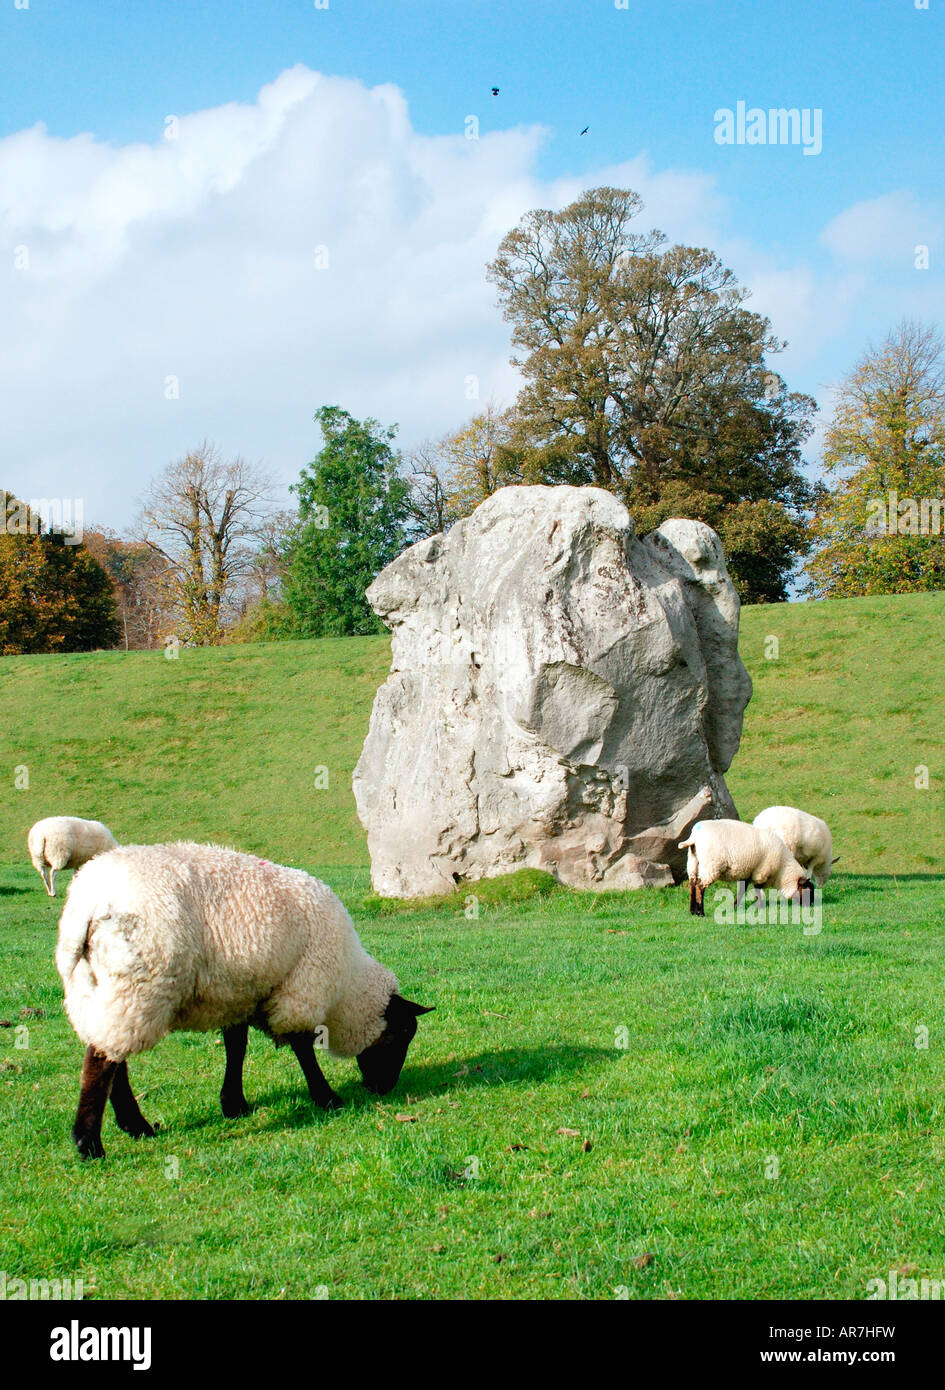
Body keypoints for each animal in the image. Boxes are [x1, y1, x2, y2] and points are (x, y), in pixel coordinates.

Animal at [55, 842, 433, 1159]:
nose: (383, 1089)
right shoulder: (300, 987)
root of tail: (87, 903)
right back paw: (90, 1142)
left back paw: (134, 1126)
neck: (345, 987)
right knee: (101, 1062)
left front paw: (234, 1104)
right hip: (137, 985)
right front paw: (326, 1097)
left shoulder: (237, 995)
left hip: (97, 989)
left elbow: (236, 1047)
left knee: (109, 1051)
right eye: (403, 1033)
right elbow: (302, 1048)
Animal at [678, 819, 815, 917]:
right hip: (710, 865)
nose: (812, 905)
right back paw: (700, 912)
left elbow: (741, 891)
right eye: (808, 890)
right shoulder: (761, 873)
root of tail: (695, 836)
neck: (782, 870)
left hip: (692, 861)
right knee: (700, 886)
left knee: (692, 884)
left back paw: (692, 911)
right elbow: (757, 889)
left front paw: (735, 906)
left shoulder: (748, 874)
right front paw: (760, 906)